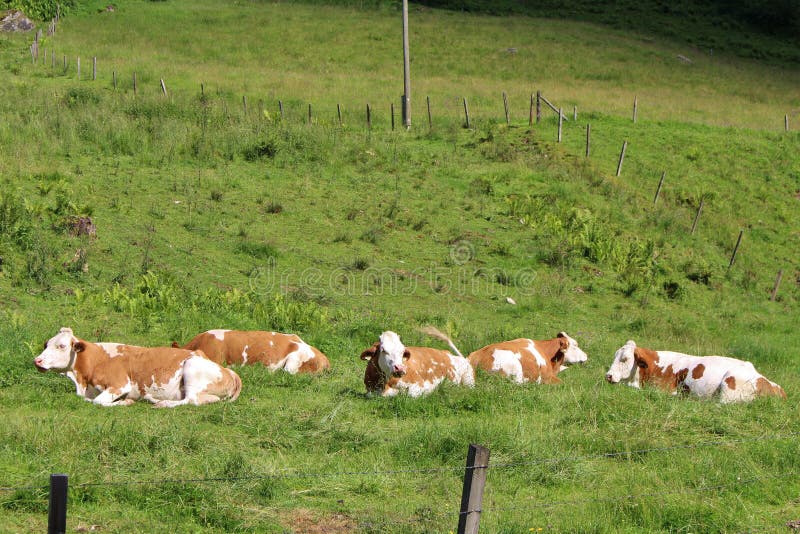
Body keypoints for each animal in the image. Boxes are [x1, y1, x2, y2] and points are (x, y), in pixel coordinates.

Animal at [34, 327, 242, 408]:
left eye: (61, 346)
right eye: (46, 344)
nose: (37, 361)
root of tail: (229, 371)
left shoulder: (120, 384)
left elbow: (98, 402)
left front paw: (124, 402)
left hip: (191, 366)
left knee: (189, 400)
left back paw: (162, 403)